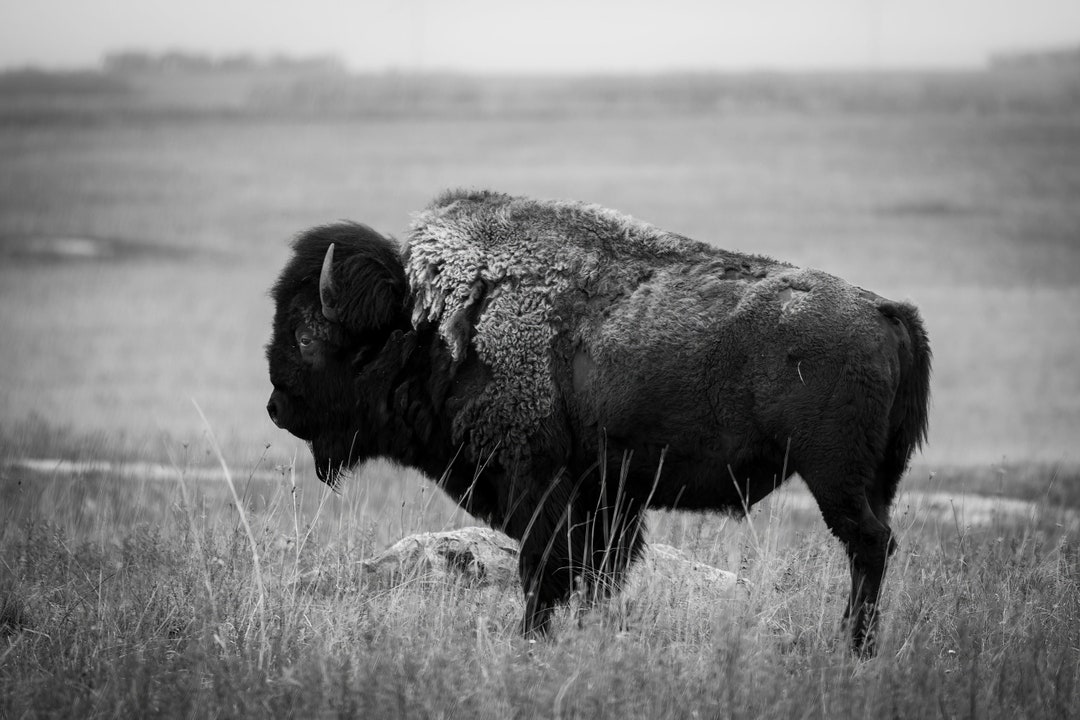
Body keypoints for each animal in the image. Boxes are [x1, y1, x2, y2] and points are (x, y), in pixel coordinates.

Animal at [266, 189, 931, 654]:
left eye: (305, 336)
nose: (275, 408)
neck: (435, 326)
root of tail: (887, 310)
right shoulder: (608, 498)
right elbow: (597, 572)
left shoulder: (539, 487)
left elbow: (544, 570)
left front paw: (532, 640)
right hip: (878, 479)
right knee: (876, 543)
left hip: (835, 479)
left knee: (868, 545)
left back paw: (855, 647)